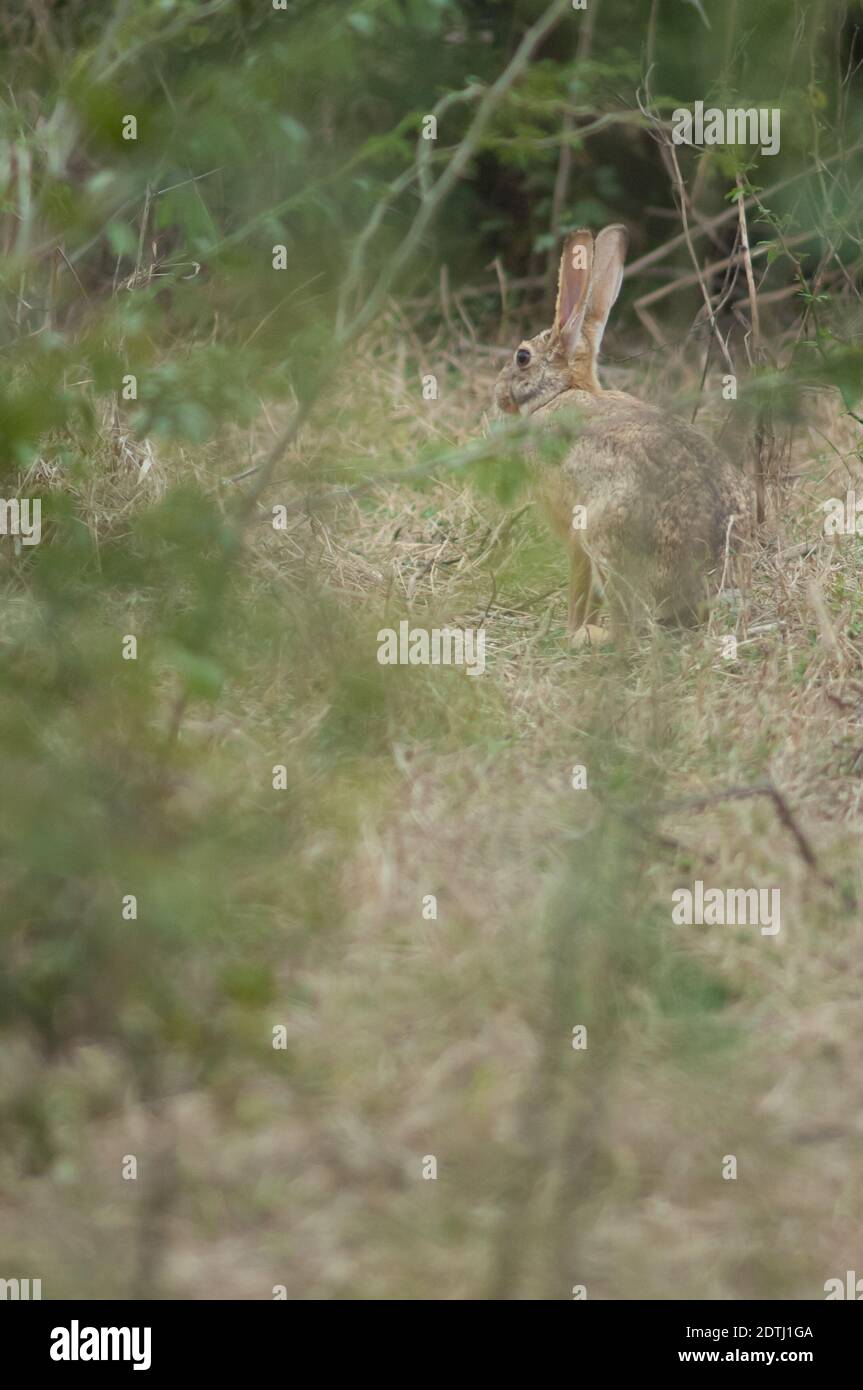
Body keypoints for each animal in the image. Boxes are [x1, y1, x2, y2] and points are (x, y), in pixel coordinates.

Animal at [493, 225, 753, 644]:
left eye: (522, 357)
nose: (498, 395)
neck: (561, 393)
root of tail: (707, 580)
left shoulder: (573, 528)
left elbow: (579, 586)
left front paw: (571, 629)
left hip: (605, 534)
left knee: (630, 625)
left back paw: (591, 638)